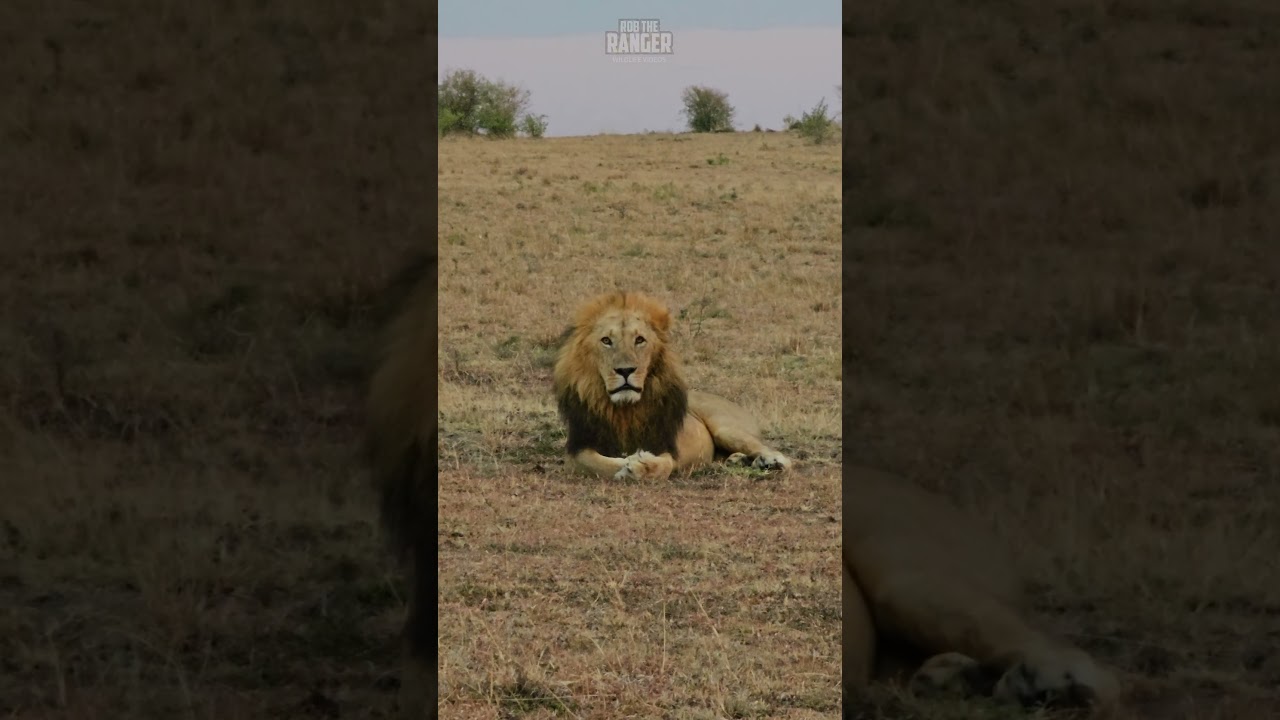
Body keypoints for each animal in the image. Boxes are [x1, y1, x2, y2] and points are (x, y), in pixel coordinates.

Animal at [552, 291, 791, 481]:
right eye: (606, 341)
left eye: (639, 340)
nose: (625, 370)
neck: (626, 411)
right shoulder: (578, 448)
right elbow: (599, 464)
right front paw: (629, 463)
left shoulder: (665, 444)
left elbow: (664, 464)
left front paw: (641, 465)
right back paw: (740, 460)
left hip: (727, 428)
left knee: (779, 455)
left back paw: (770, 461)